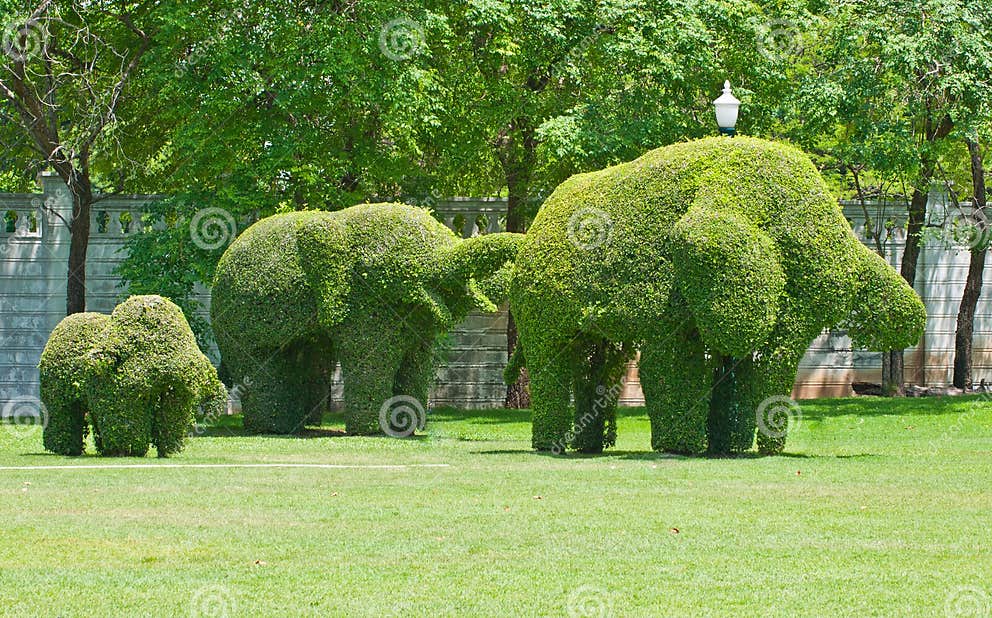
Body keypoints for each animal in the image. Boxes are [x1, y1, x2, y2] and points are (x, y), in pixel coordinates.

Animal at [210, 203, 521, 436]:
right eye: (409, 258)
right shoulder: (361, 306)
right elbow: (371, 361)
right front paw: (375, 429)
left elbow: (416, 360)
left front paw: (409, 426)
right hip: (235, 325)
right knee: (262, 368)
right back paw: (272, 427)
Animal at [507, 137, 926, 456]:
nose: (771, 441)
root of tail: (540, 219)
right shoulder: (669, 300)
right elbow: (669, 367)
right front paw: (681, 445)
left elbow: (731, 367)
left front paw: (727, 445)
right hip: (540, 309)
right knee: (550, 365)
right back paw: (551, 444)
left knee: (595, 364)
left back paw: (589, 445)